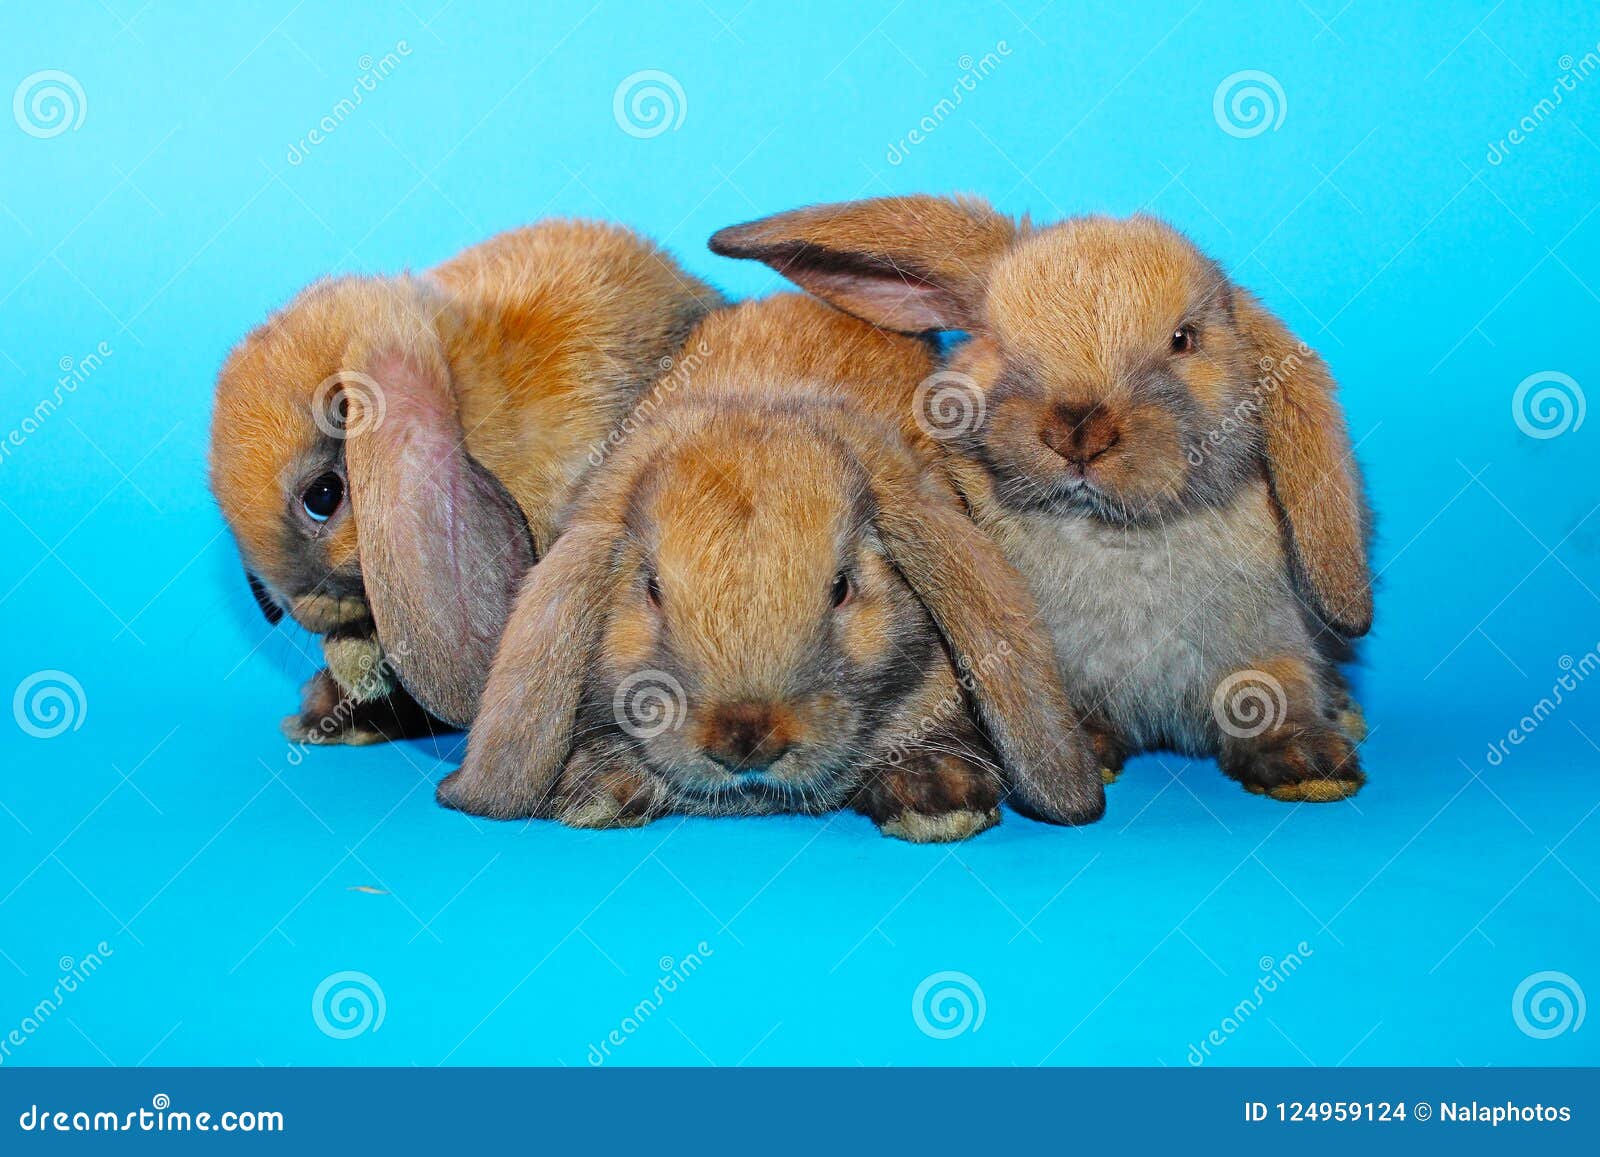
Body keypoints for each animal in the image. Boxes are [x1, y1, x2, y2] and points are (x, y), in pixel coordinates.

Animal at [710, 197, 1374, 803]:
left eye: (1183, 340)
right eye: (999, 344)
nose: (1078, 430)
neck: (1110, 536)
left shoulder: (1271, 641)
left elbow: (1273, 691)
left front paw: (1307, 760)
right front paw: (1090, 751)